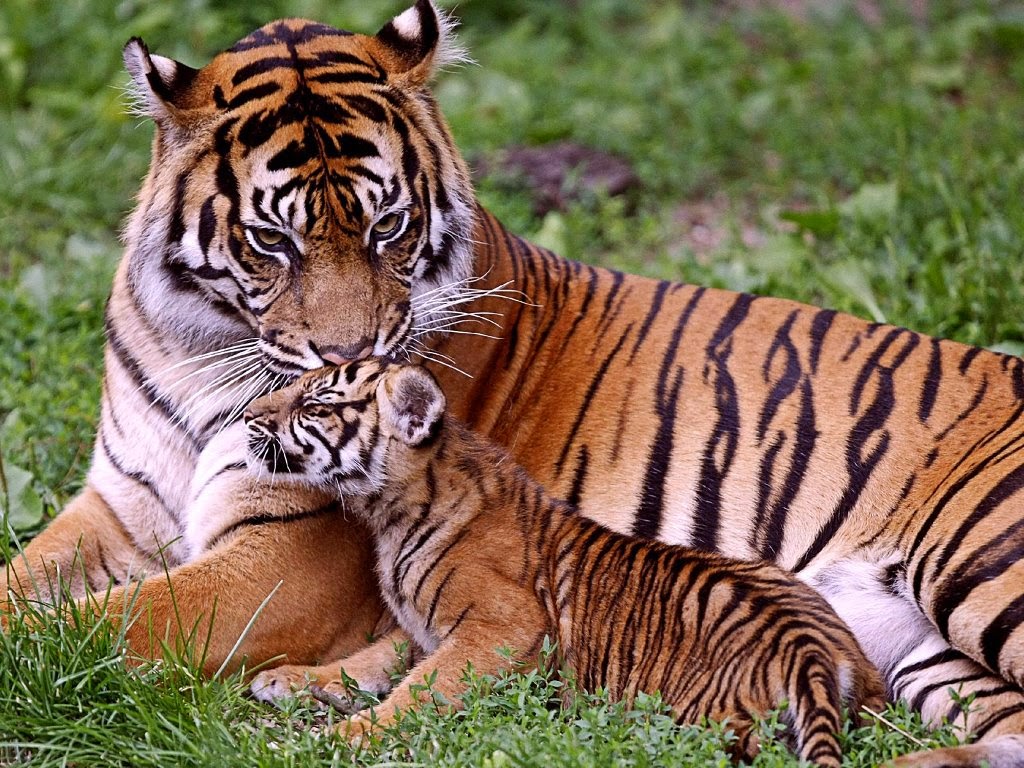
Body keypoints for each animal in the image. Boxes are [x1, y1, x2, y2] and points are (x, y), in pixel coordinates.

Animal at [239, 359, 887, 767]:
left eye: (314, 404)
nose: (249, 415)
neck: (390, 512)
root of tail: (810, 649)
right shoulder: (418, 629)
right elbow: (368, 663)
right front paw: (290, 680)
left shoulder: (504, 626)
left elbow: (416, 691)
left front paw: (337, 739)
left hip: (695, 717)